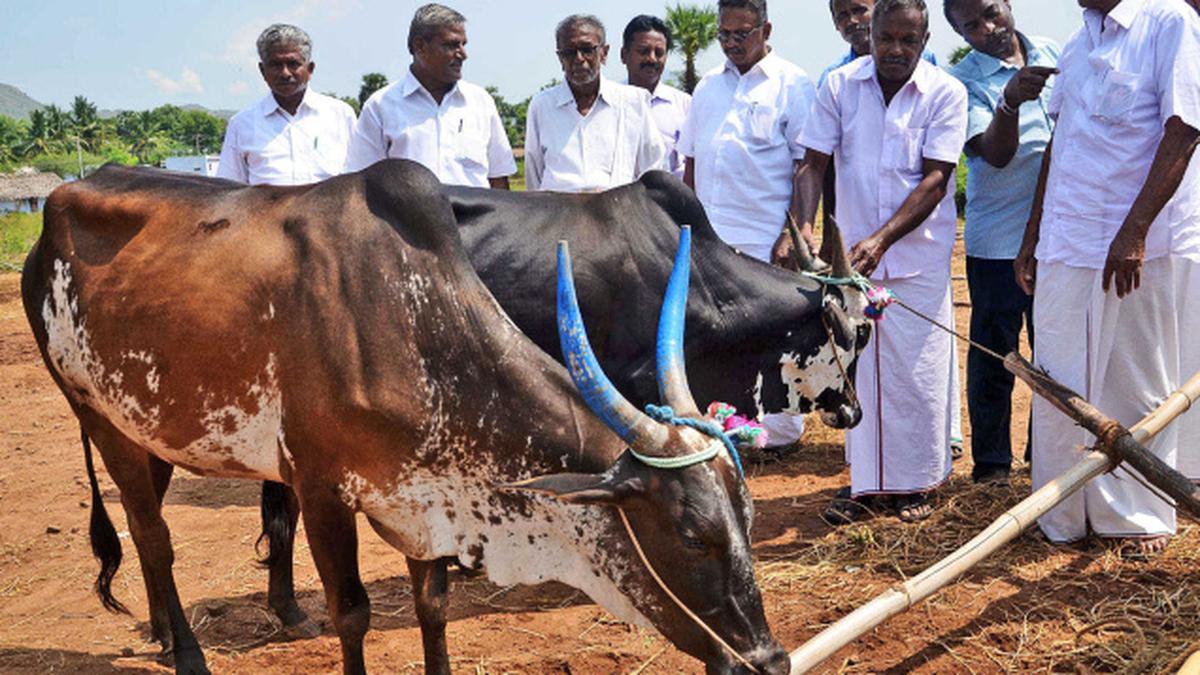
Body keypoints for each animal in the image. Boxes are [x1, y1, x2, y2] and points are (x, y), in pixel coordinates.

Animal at [22, 161, 791, 674]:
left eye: (749, 516)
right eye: (692, 537)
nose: (770, 660)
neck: (407, 319)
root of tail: (55, 204)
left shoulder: (426, 496)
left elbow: (433, 605)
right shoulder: (322, 492)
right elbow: (352, 612)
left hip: (145, 426)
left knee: (145, 523)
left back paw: (158, 629)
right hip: (97, 416)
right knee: (153, 536)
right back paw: (184, 652)